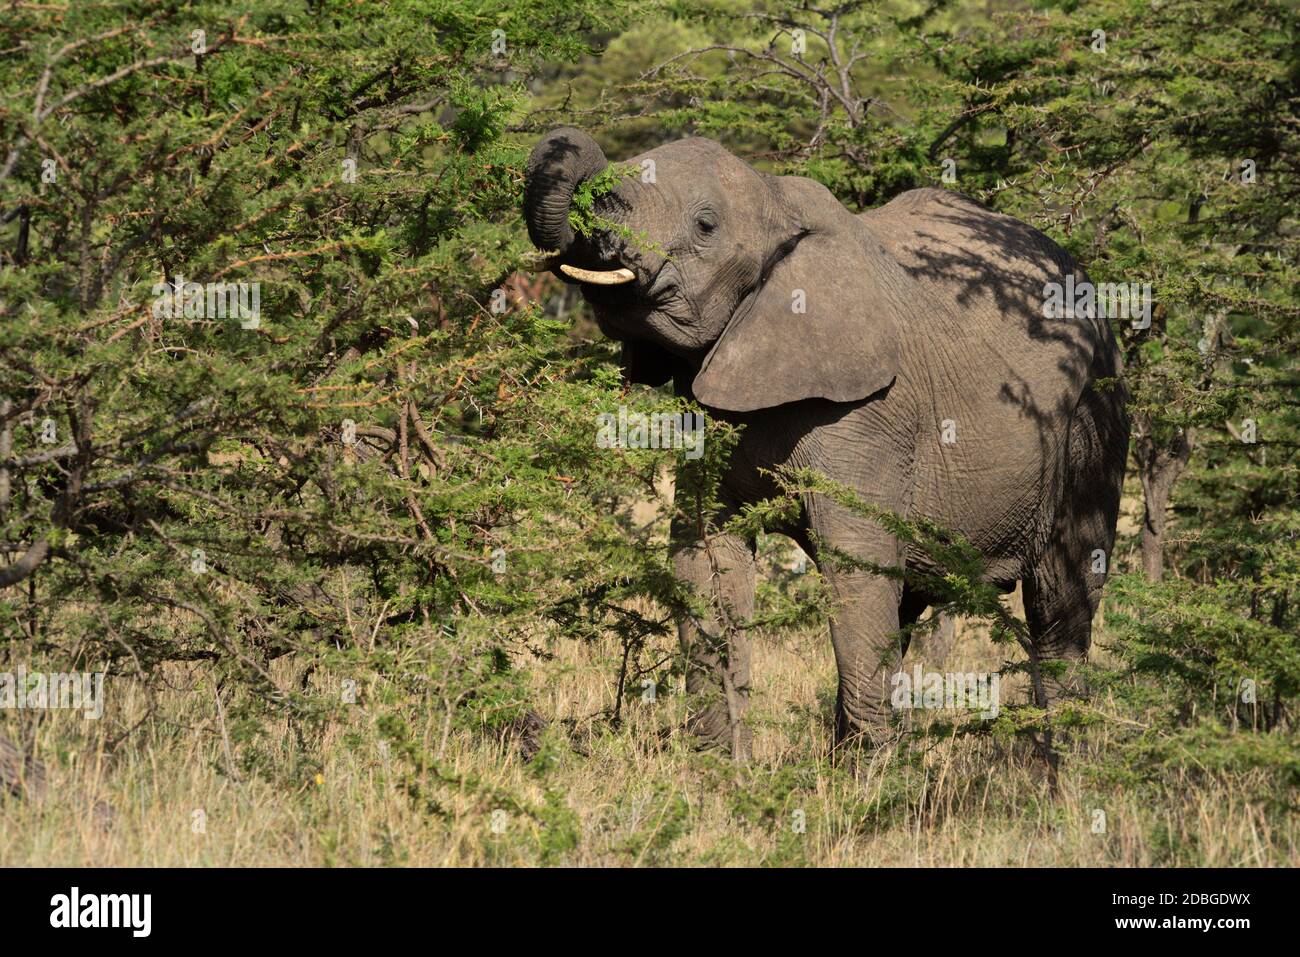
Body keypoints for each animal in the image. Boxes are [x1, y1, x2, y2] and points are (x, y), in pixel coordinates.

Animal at [523, 127, 1129, 760]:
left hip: (1095, 413)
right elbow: (703, 556)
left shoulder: (871, 412)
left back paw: (1061, 767)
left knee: (1061, 600)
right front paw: (721, 767)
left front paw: (868, 780)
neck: (777, 199)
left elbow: (857, 565)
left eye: (705, 226)